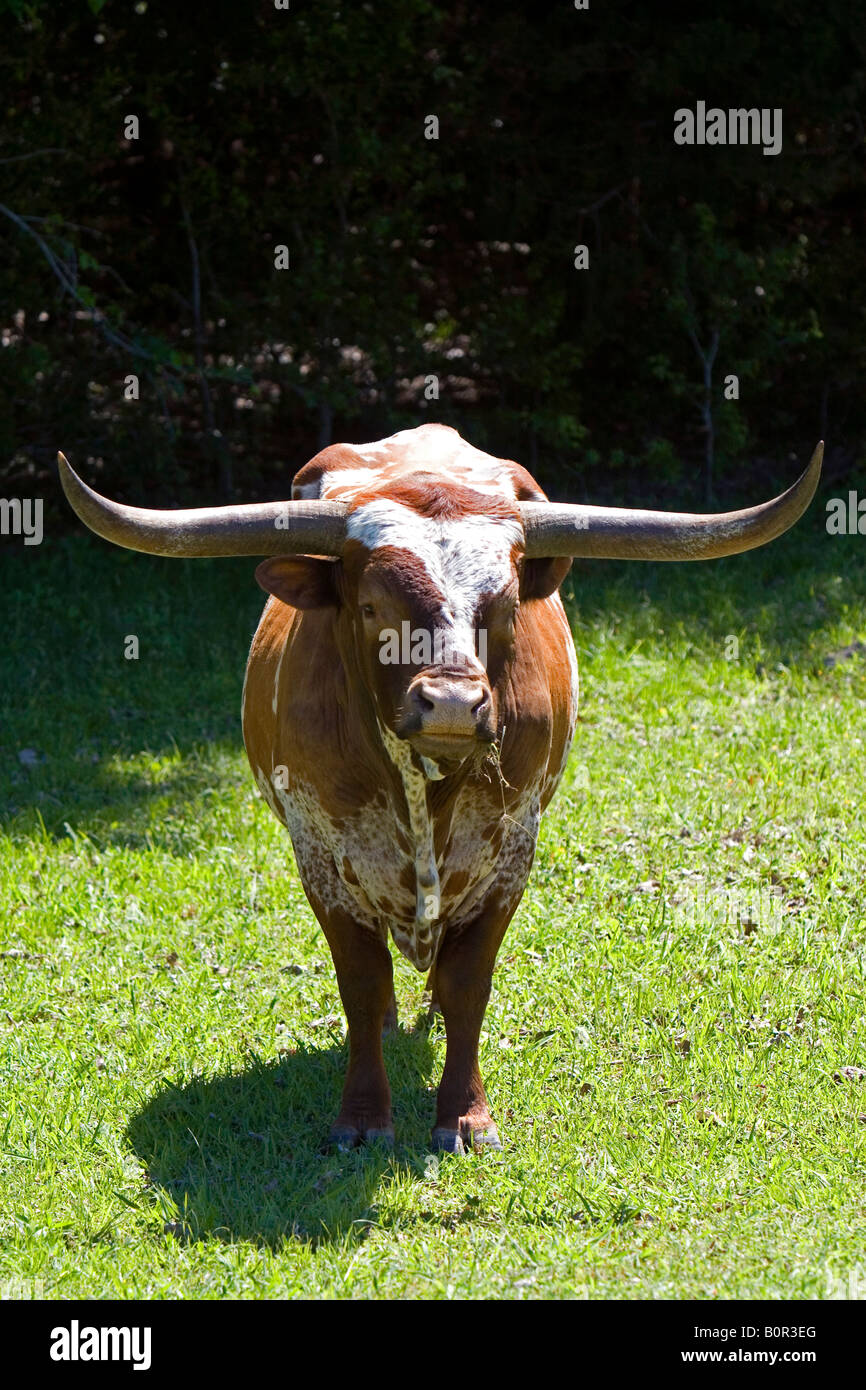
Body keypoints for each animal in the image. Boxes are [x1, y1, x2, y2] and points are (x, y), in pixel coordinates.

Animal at [59, 424, 822, 1153]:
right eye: (370, 605)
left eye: (506, 606)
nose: (452, 705)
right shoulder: (319, 854)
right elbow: (363, 985)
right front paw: (363, 1118)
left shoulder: (512, 850)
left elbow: (465, 985)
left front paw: (465, 1116)